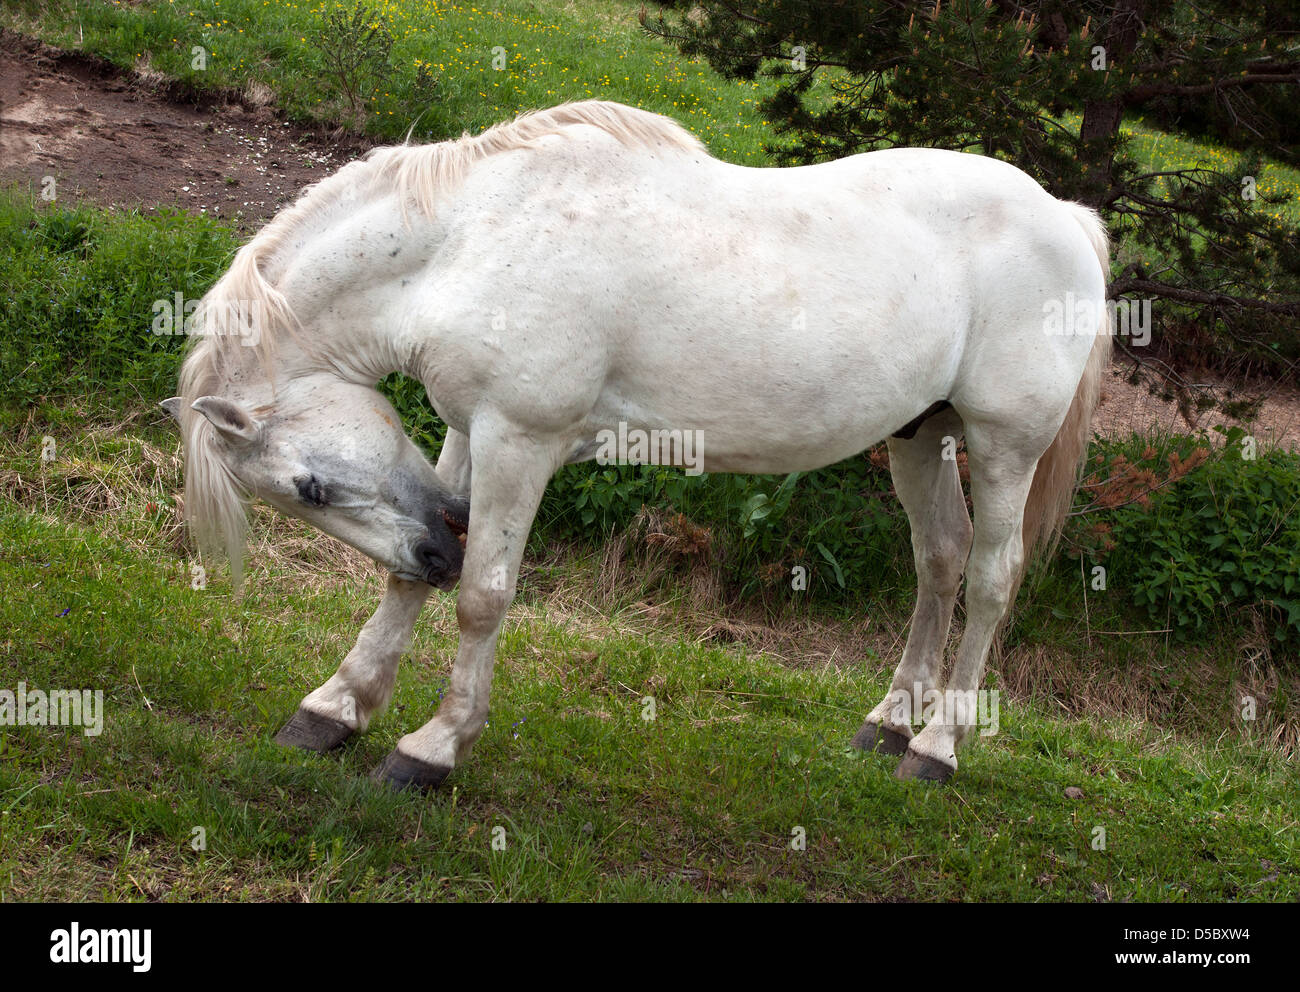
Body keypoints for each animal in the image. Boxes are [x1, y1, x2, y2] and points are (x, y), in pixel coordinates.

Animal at [163, 99, 1111, 790]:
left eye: (310, 488)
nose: (434, 548)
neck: (471, 239)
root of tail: (1066, 218)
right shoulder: (469, 433)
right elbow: (411, 584)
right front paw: (335, 710)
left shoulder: (520, 440)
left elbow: (483, 597)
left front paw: (430, 748)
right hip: (921, 438)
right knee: (939, 562)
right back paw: (886, 725)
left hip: (1004, 447)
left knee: (989, 580)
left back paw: (936, 749)